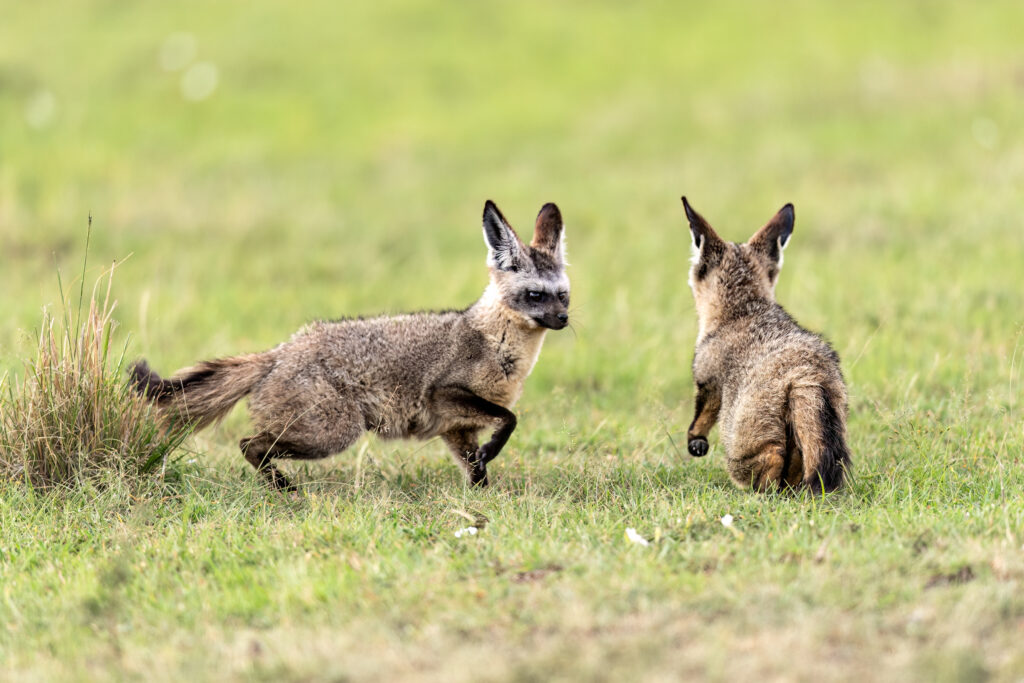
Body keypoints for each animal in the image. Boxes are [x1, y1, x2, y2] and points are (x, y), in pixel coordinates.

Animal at [130, 200, 570, 491]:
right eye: (535, 296)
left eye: (563, 295)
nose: (564, 320)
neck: (501, 348)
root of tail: (279, 352)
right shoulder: (444, 394)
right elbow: (509, 419)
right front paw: (494, 452)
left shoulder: (456, 430)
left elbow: (478, 468)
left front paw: (484, 499)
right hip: (333, 433)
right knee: (249, 444)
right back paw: (284, 488)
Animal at [680, 196, 850, 493]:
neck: (743, 310)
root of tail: (808, 371)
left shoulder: (706, 379)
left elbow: (700, 418)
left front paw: (696, 442)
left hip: (740, 439)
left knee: (770, 457)